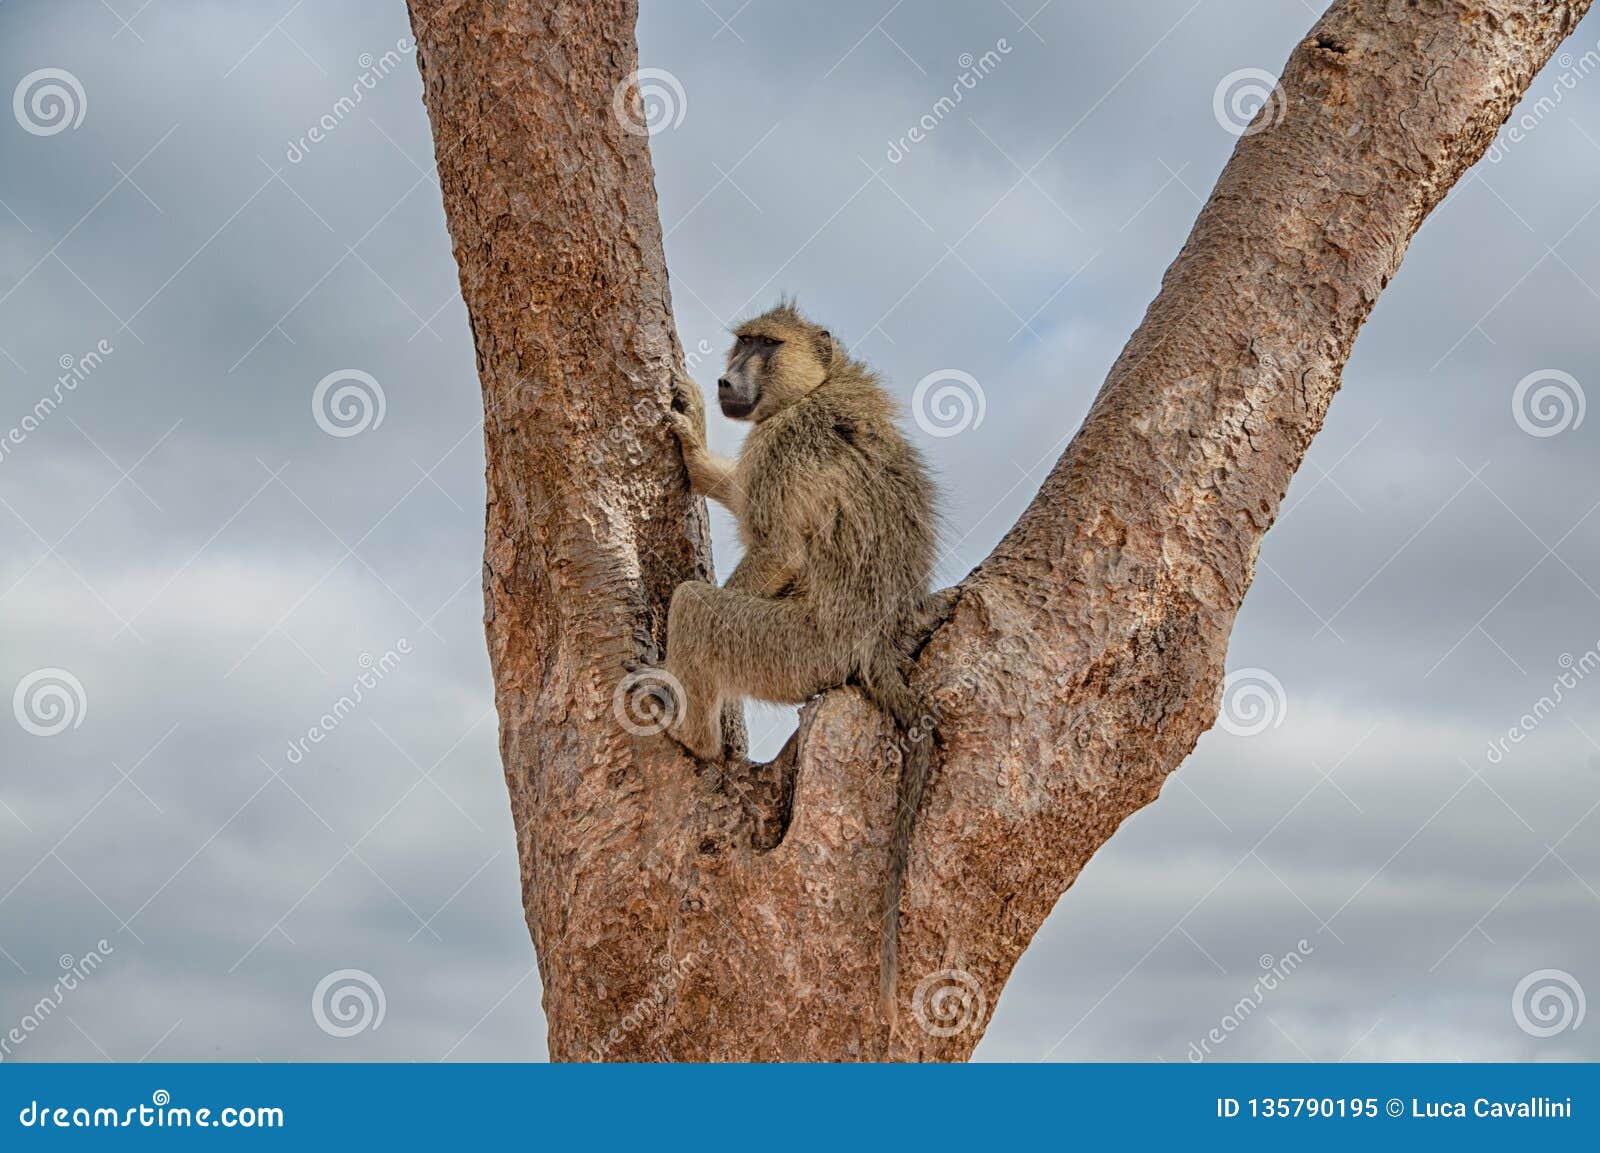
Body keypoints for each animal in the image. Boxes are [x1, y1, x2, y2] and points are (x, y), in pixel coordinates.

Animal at [655, 299, 944, 1025]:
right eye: (742, 342)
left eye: (763, 345)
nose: (726, 379)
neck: (818, 387)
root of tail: (872, 642)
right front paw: (695, 448)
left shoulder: (785, 445)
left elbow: (779, 547)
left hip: (797, 651)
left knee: (696, 606)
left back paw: (693, 735)